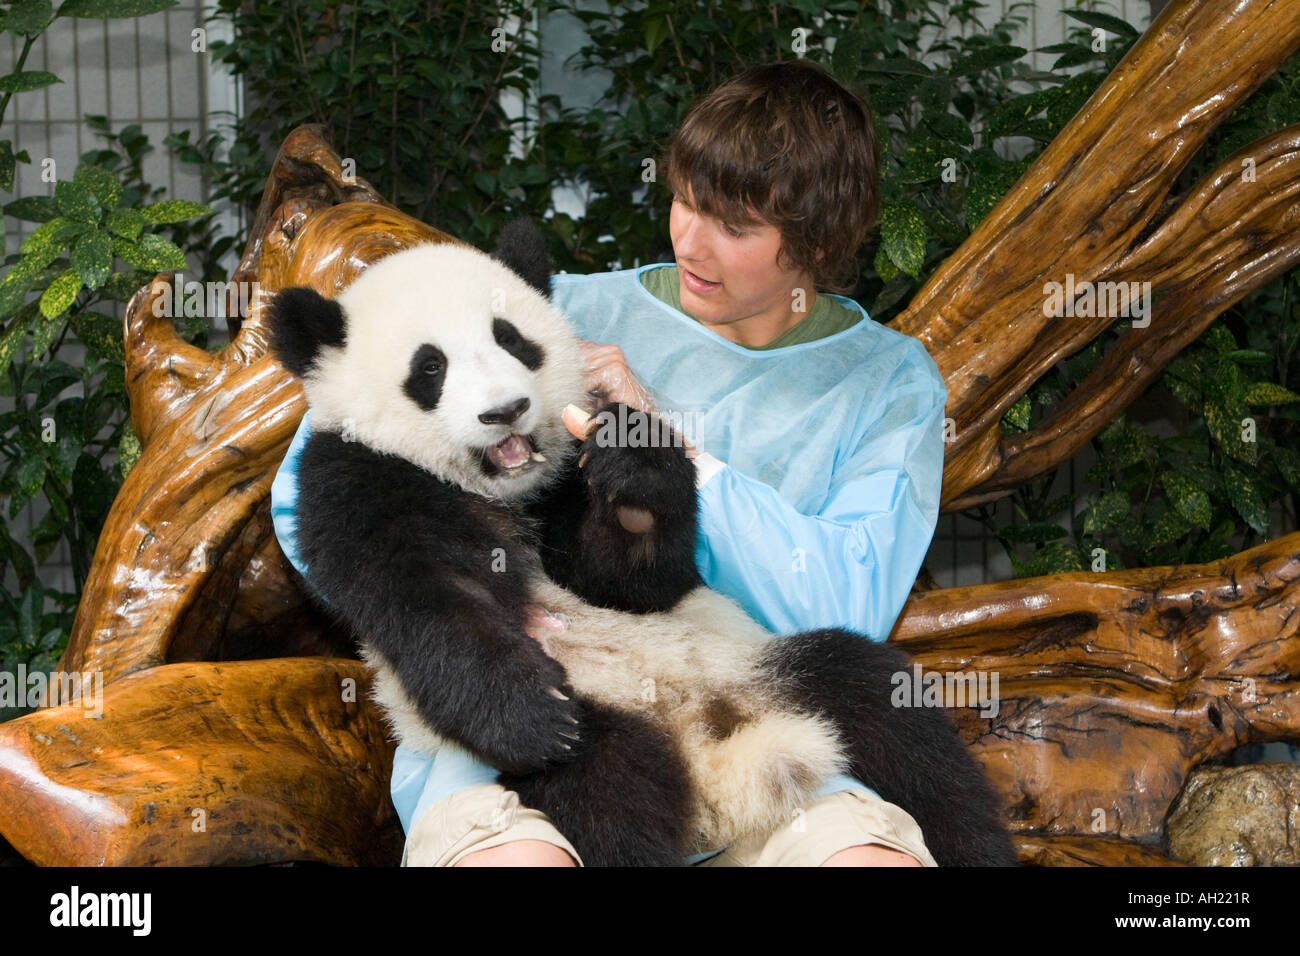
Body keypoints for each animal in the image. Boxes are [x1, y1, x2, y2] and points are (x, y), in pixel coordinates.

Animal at [266, 222, 1013, 868]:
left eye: (513, 341)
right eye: (430, 368)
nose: (506, 410)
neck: (503, 491)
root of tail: (709, 756)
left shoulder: (564, 487)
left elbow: (626, 581)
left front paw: (636, 469)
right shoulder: (355, 479)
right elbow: (424, 600)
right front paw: (524, 712)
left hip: (758, 666)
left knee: (892, 719)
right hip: (606, 719)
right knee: (613, 796)